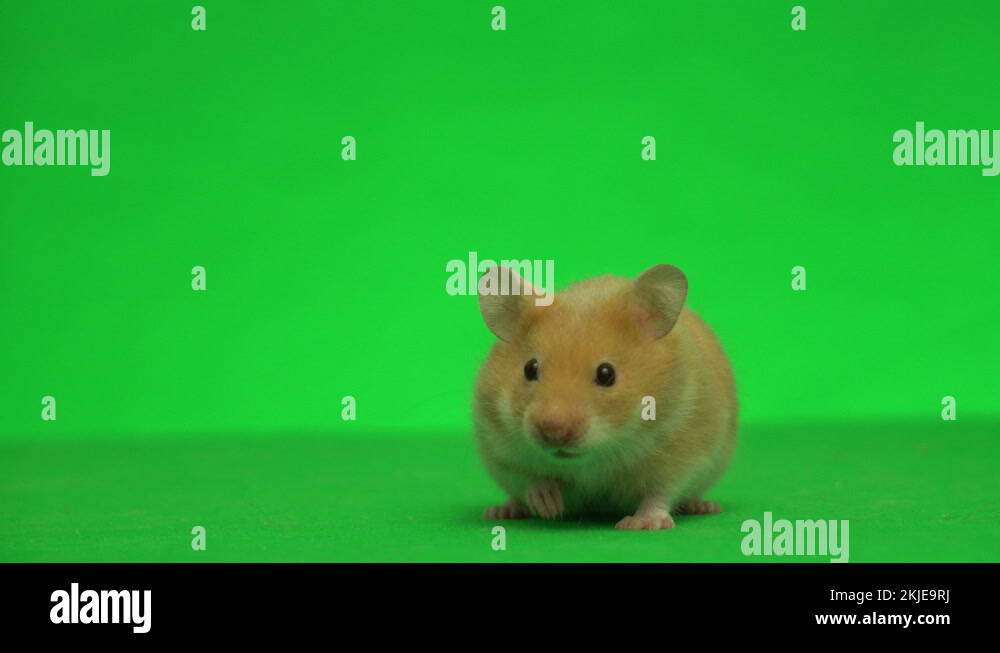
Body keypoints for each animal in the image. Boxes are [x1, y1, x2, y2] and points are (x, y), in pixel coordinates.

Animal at [473, 264, 738, 530]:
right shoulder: (499, 450)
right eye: (530, 368)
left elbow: (661, 492)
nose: (553, 431)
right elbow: (530, 478)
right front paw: (548, 506)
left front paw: (639, 524)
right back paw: (502, 511)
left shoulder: (686, 450)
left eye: (606, 374)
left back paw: (705, 507)